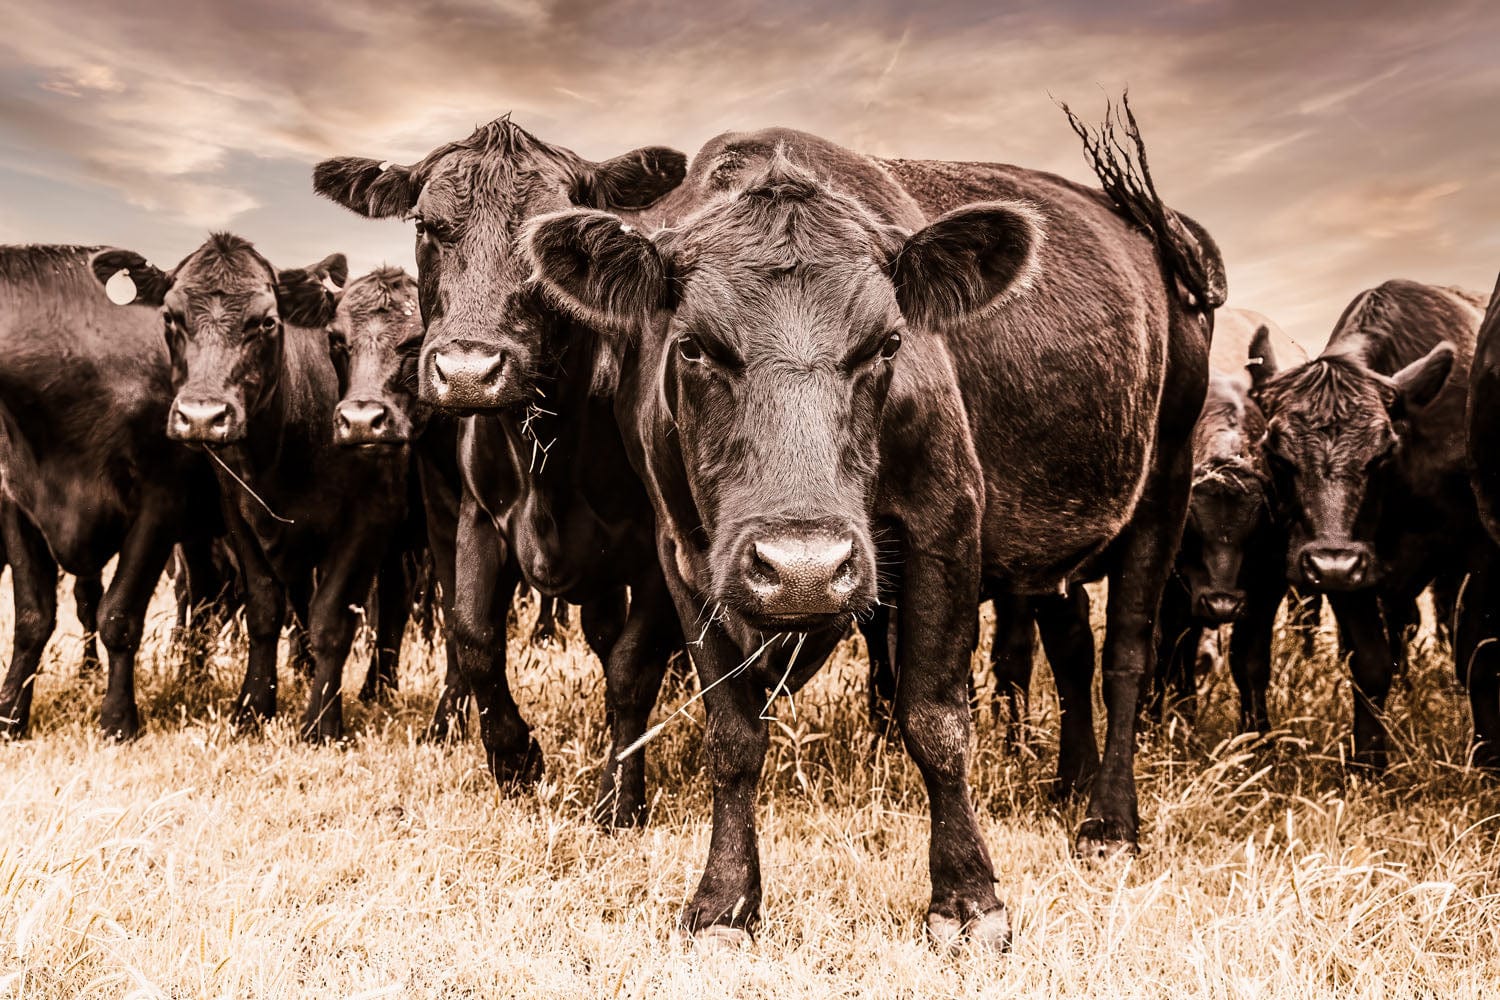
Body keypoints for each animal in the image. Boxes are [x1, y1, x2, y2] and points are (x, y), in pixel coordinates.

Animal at [0, 245, 223, 739]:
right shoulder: (16, 503)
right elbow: (32, 618)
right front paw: (10, 715)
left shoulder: (159, 505)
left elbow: (118, 616)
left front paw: (119, 719)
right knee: (201, 596)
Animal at [90, 234, 405, 742]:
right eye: (170, 316)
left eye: (267, 321)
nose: (202, 416)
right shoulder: (239, 517)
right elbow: (264, 608)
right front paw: (253, 708)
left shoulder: (370, 519)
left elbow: (332, 618)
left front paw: (322, 722)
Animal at [312, 119, 689, 825]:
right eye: (426, 223)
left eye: (552, 234)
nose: (467, 370)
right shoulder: (479, 521)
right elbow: (473, 635)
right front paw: (513, 758)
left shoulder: (662, 546)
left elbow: (633, 667)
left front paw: (619, 797)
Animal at [521, 103, 1224, 947]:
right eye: (693, 345)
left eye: (887, 343)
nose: (803, 568)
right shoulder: (688, 552)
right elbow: (732, 732)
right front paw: (726, 899)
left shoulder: (946, 521)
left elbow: (936, 719)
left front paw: (967, 896)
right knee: (1075, 649)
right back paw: (1071, 781)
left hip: (1166, 481)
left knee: (1126, 657)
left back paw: (1109, 819)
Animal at [1249, 279, 1490, 768]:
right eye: (1275, 454)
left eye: (1383, 451)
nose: (1331, 565)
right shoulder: (1346, 566)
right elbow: (1371, 663)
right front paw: (1369, 763)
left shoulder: (1470, 555)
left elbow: (1473, 655)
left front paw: (1486, 755)